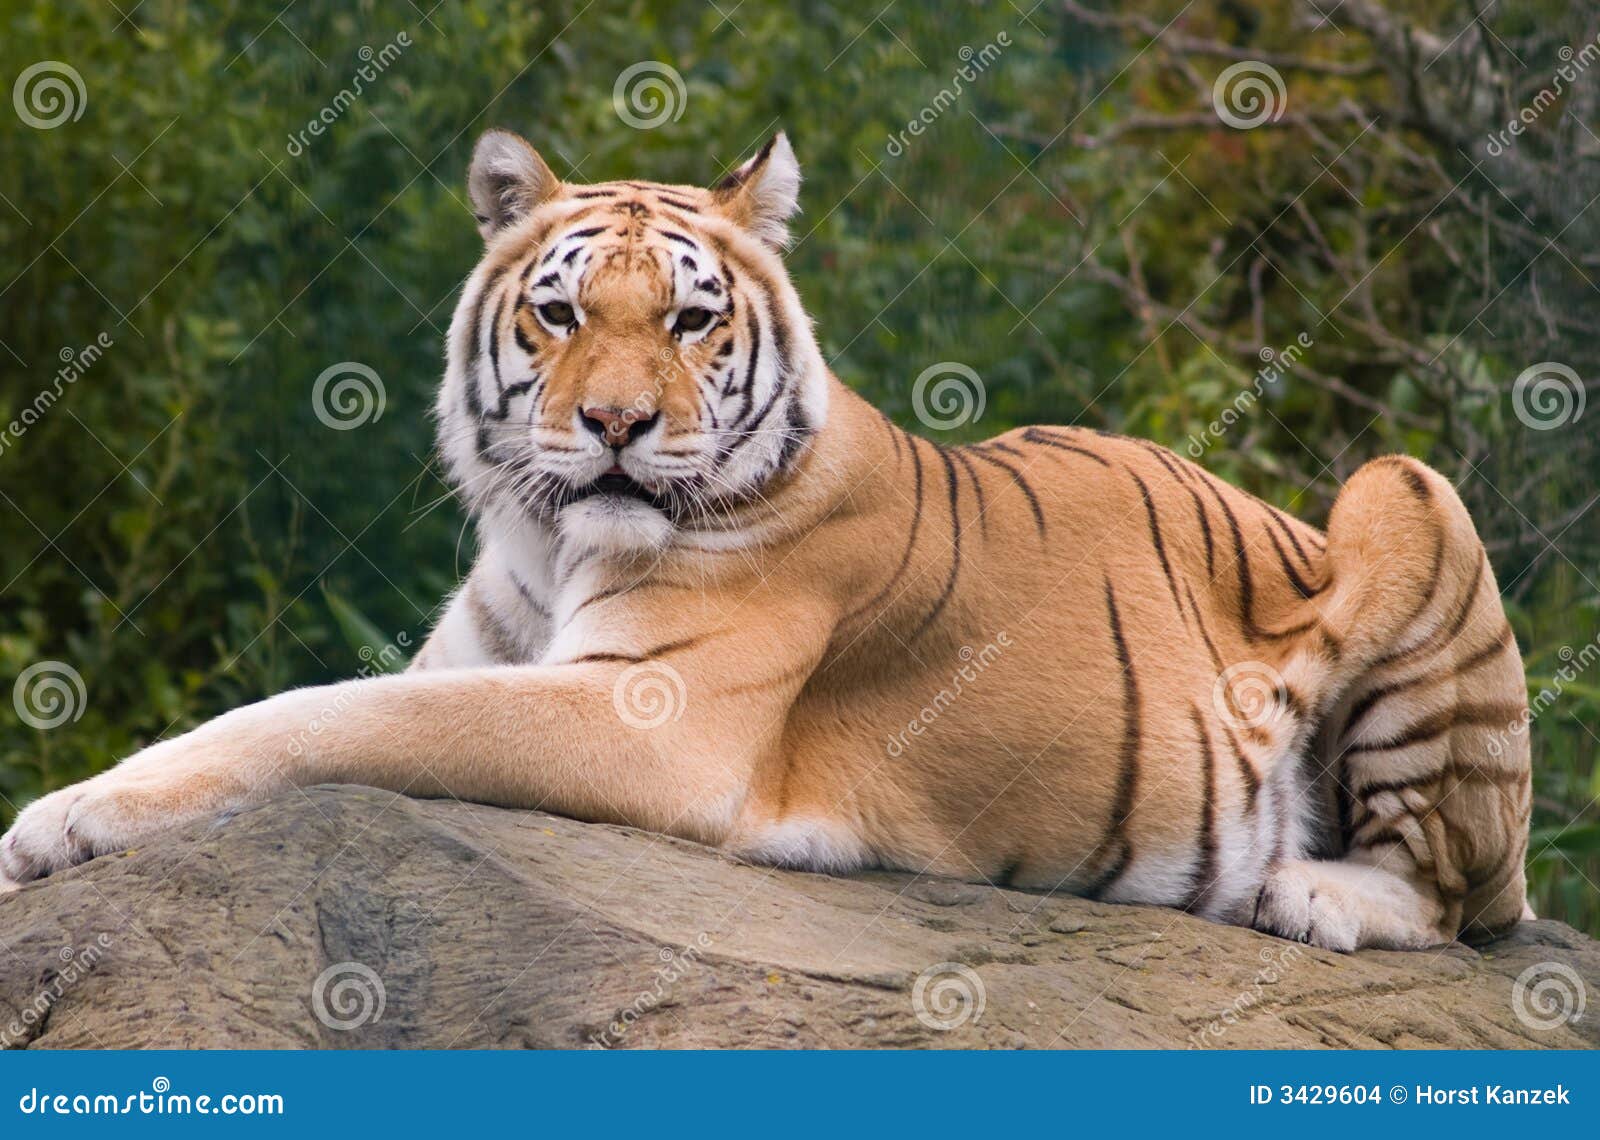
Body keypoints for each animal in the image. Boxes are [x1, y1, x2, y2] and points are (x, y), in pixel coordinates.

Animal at [0, 129, 1532, 952]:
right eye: (559, 314)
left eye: (690, 319)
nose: (616, 424)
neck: (552, 545)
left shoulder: (649, 714)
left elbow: (319, 717)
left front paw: (62, 817)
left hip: (1402, 488)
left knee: (1459, 897)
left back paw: (1305, 892)